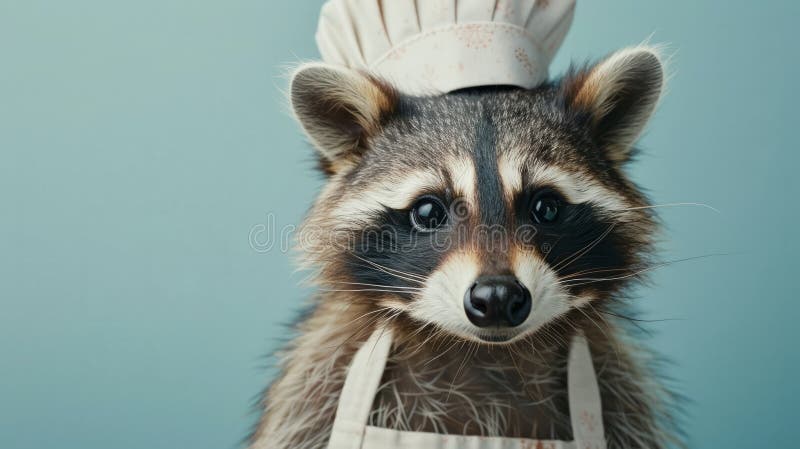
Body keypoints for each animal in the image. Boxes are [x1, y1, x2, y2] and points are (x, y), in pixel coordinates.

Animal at [249, 46, 682, 449]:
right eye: (428, 211)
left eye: (546, 207)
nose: (497, 297)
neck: (479, 353)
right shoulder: (316, 386)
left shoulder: (618, 390)